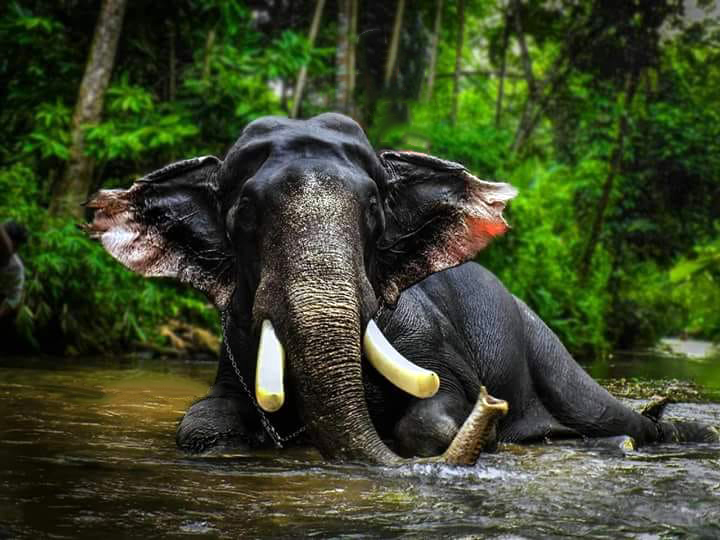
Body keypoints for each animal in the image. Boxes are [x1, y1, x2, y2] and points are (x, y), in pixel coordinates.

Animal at [86, 113, 719, 465]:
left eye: (373, 210)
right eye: (244, 214)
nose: (494, 403)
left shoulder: (430, 335)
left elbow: (437, 406)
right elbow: (199, 426)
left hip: (547, 346)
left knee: (611, 416)